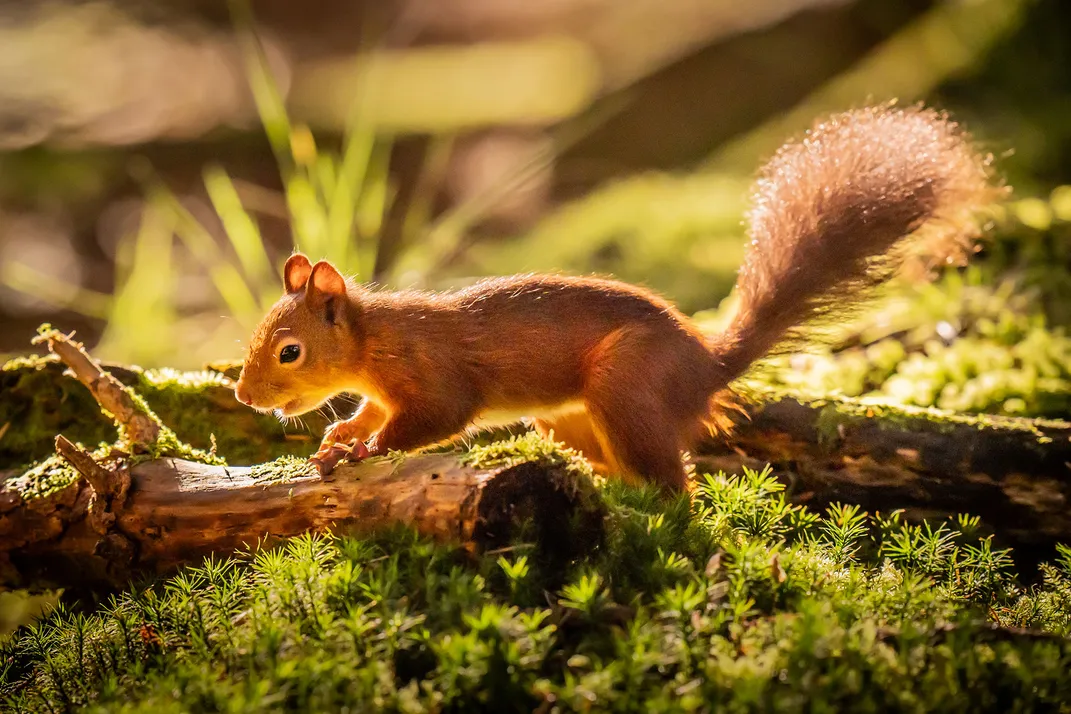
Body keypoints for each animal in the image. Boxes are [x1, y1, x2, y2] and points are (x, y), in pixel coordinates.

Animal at [234, 104, 1001, 493]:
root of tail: (707, 367)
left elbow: (433, 420)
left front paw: (363, 450)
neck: (374, 340)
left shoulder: (433, 375)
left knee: (673, 487)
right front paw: (339, 437)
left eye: (289, 351)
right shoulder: (381, 388)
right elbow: (367, 412)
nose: (243, 395)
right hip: (569, 418)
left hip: (625, 383)